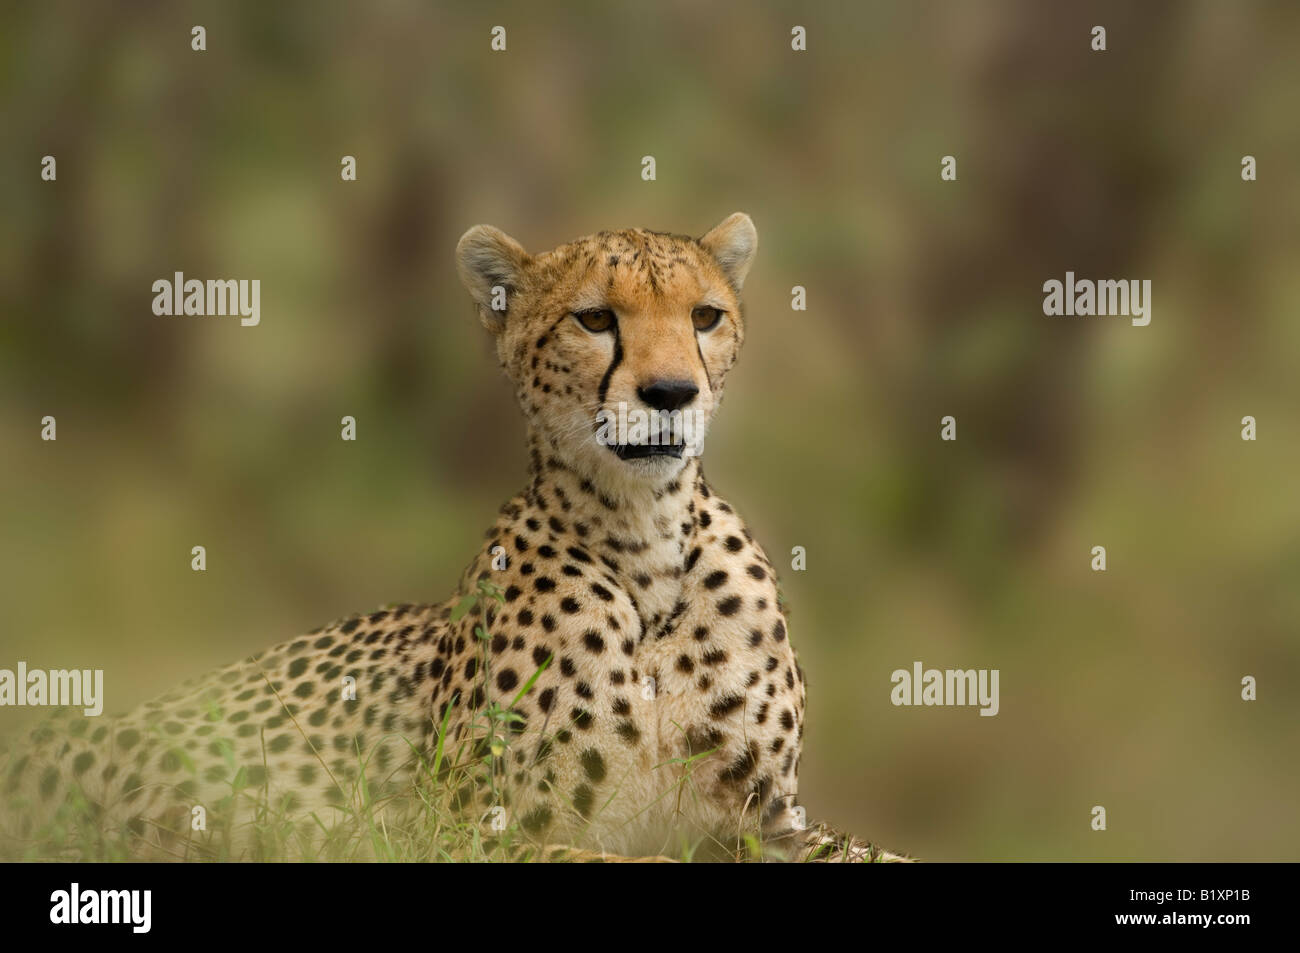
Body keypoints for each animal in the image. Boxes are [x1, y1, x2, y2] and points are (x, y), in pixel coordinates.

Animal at [0, 213, 903, 862]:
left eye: (706, 316)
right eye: (595, 318)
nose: (672, 393)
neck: (643, 537)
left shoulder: (771, 820)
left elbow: (876, 854)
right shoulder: (475, 830)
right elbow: (618, 858)